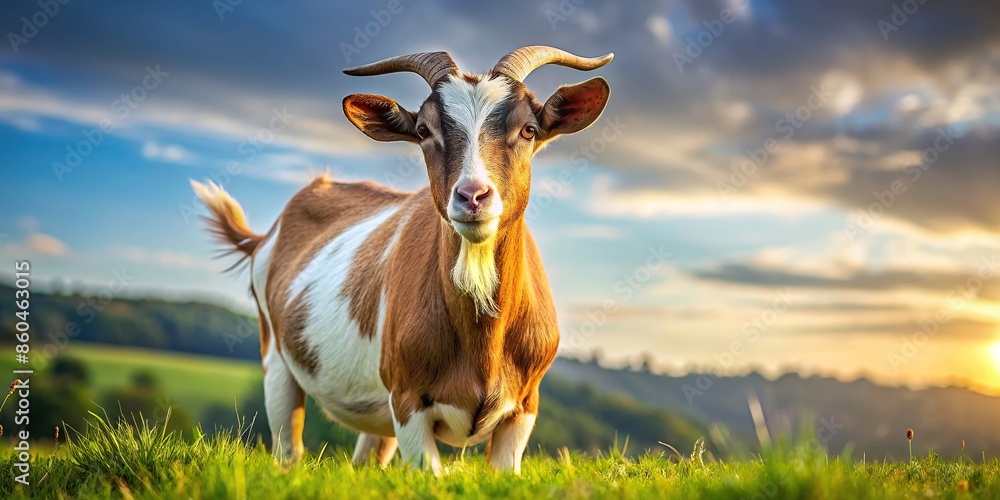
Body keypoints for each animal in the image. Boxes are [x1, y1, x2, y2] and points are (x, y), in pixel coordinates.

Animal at [193, 46, 612, 474]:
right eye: (424, 131)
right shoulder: (408, 400)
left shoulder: (524, 407)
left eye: (528, 129)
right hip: (277, 359)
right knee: (287, 445)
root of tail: (265, 236)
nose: (472, 196)